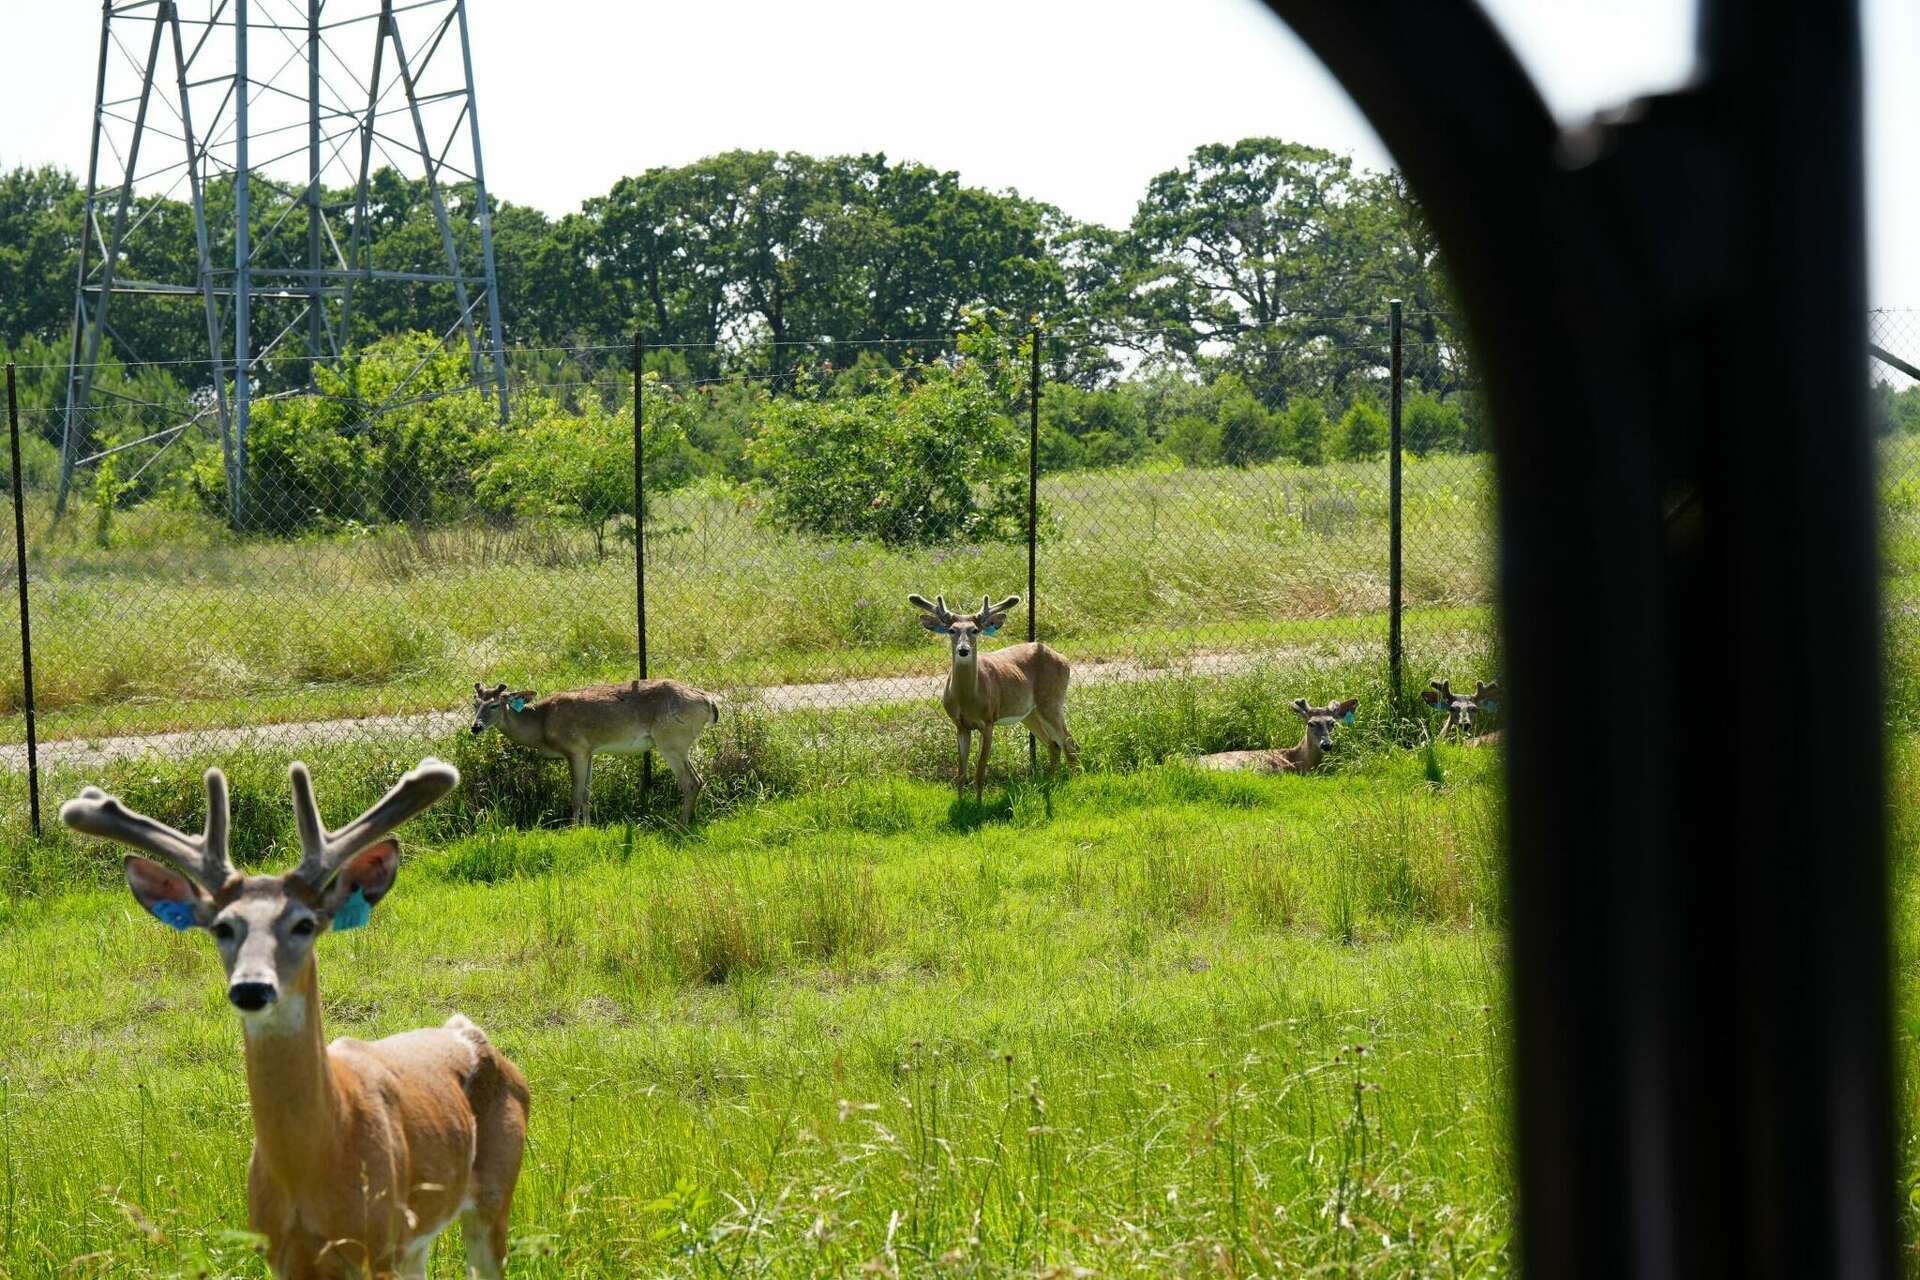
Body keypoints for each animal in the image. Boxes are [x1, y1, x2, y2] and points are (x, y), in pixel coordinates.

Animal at [60, 758, 529, 1279]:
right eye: (222, 927)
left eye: (304, 924)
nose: (251, 987)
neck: (312, 1172)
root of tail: (472, 1033)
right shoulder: (281, 1252)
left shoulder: (376, 1244)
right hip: (415, 1237)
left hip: (493, 1192)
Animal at [471, 678, 720, 826]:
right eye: (475, 704)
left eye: (494, 704)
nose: (475, 727)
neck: (541, 725)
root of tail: (708, 700)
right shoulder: (590, 751)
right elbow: (587, 795)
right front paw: (588, 827)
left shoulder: (576, 748)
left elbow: (575, 795)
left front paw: (572, 830)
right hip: (679, 744)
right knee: (697, 779)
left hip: (671, 741)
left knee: (690, 782)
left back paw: (680, 825)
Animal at [907, 593, 1079, 801]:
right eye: (951, 630)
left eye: (975, 630)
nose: (963, 650)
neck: (966, 699)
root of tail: (1064, 658)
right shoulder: (960, 725)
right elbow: (961, 772)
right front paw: (961, 802)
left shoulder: (988, 721)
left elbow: (980, 771)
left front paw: (979, 804)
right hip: (1029, 713)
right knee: (1054, 744)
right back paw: (1050, 782)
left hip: (1052, 701)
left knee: (1069, 742)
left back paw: (1076, 782)